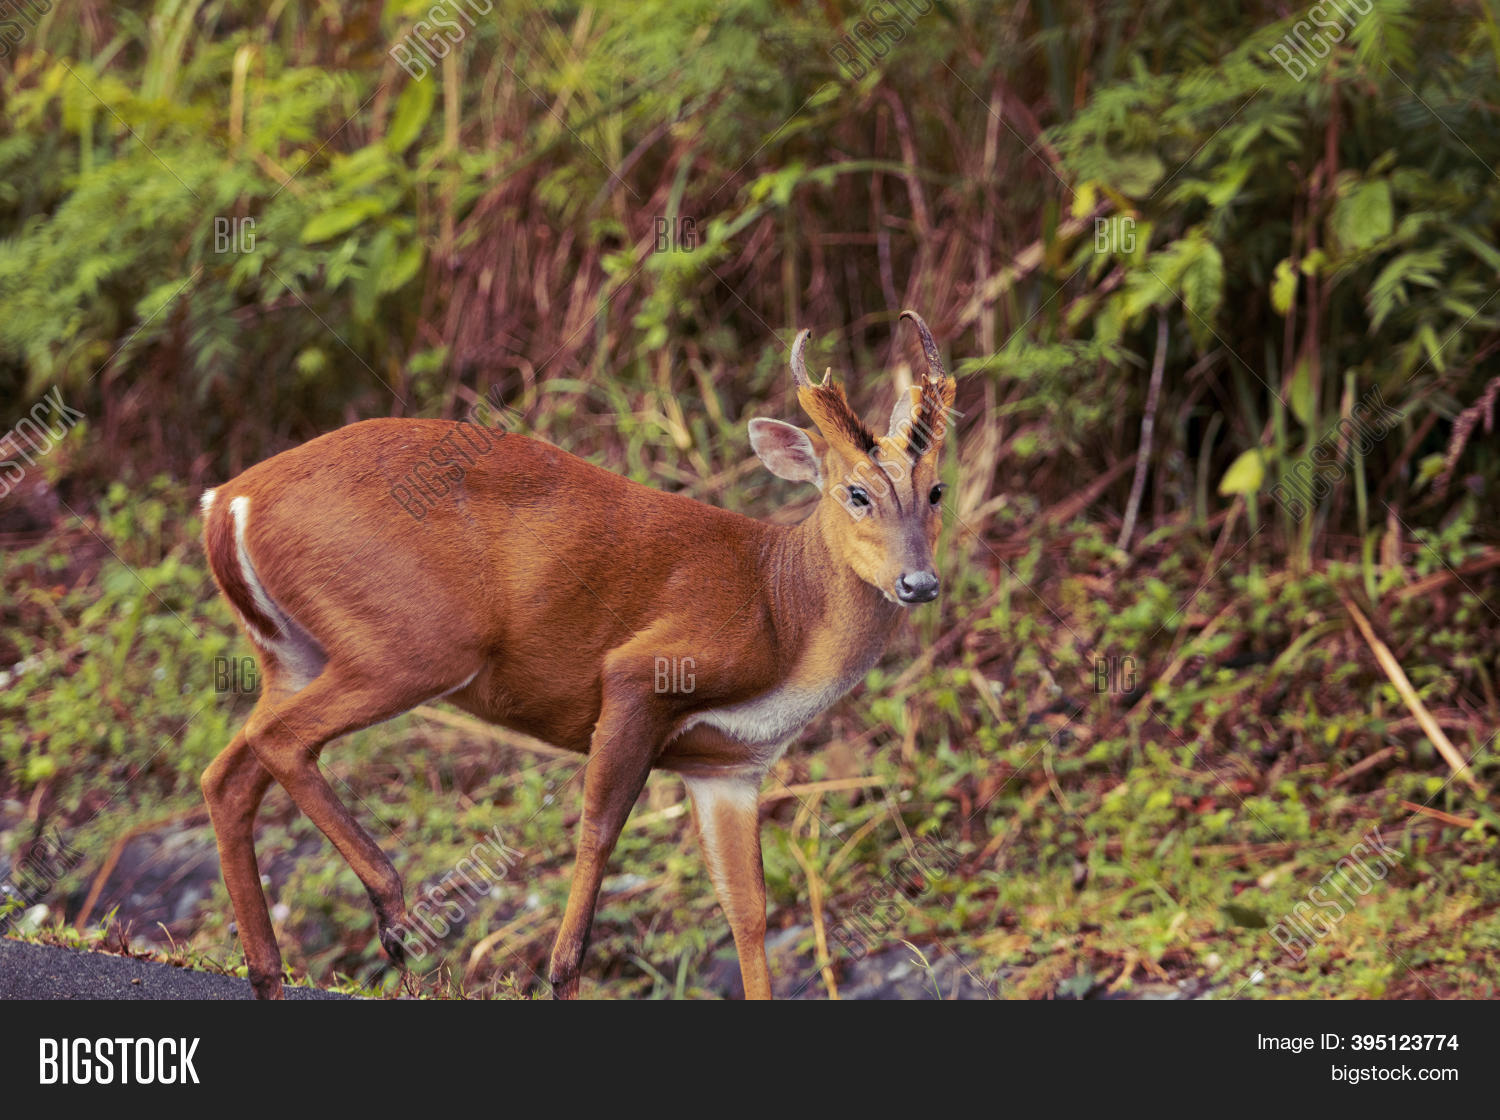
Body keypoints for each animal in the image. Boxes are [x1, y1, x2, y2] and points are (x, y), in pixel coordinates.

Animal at [198, 310, 957, 1000]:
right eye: (856, 493)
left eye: (937, 490)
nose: (920, 582)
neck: (782, 607)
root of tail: (228, 501)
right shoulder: (641, 673)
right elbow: (598, 831)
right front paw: (560, 975)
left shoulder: (729, 768)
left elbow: (749, 911)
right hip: (415, 643)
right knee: (278, 739)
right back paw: (392, 913)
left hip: (293, 653)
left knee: (227, 772)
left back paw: (270, 973)